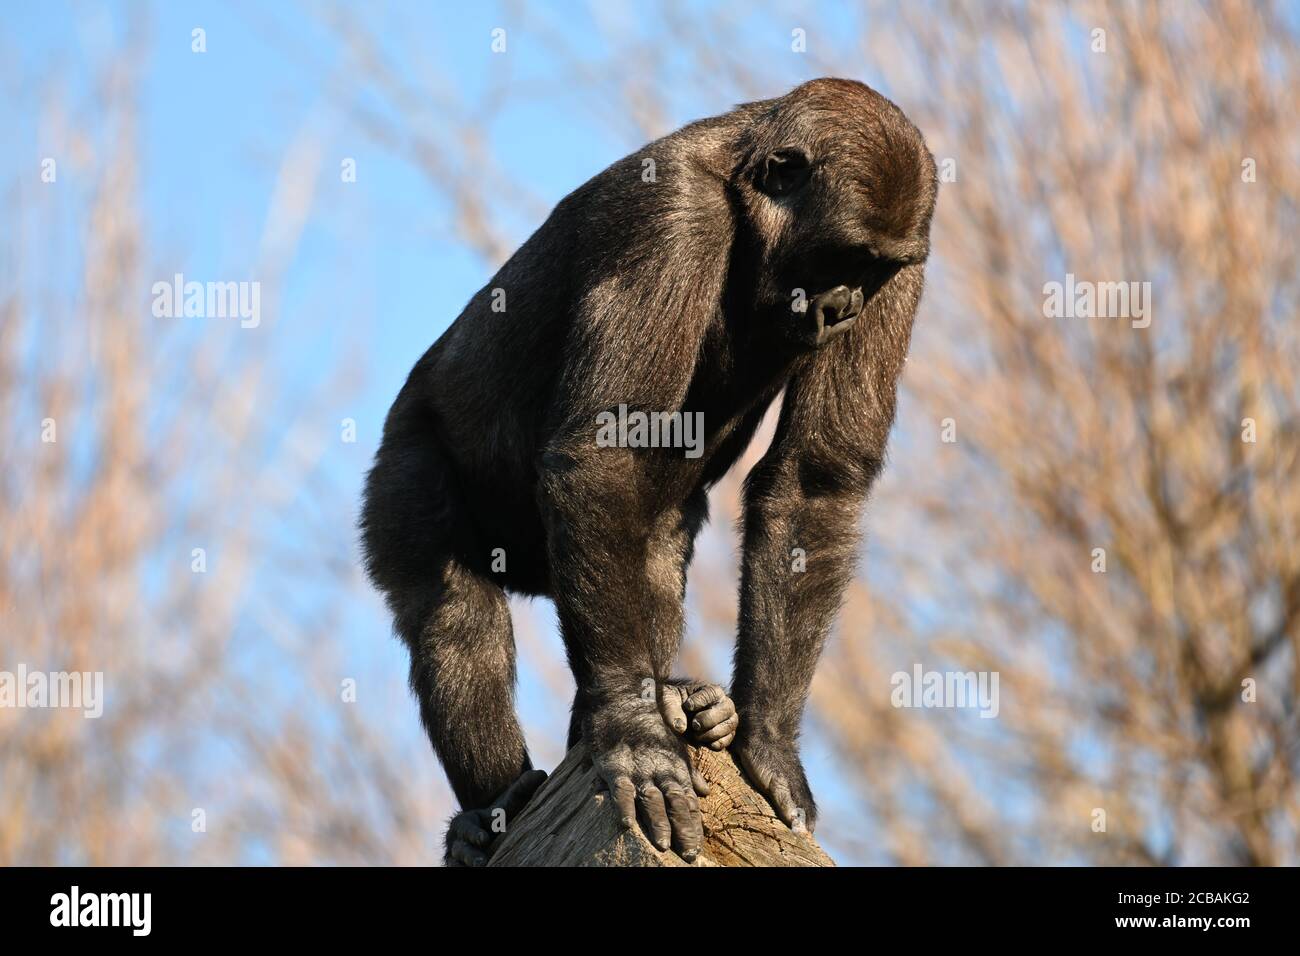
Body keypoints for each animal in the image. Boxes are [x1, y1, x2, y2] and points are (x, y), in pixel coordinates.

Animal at [360, 77, 937, 865]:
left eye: (876, 268)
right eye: (841, 257)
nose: (846, 306)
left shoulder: (913, 253)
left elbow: (814, 481)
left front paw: (767, 742)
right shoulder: (669, 217)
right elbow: (603, 453)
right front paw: (637, 739)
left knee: (652, 561)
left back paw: (675, 705)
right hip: (406, 449)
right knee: (452, 608)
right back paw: (493, 813)